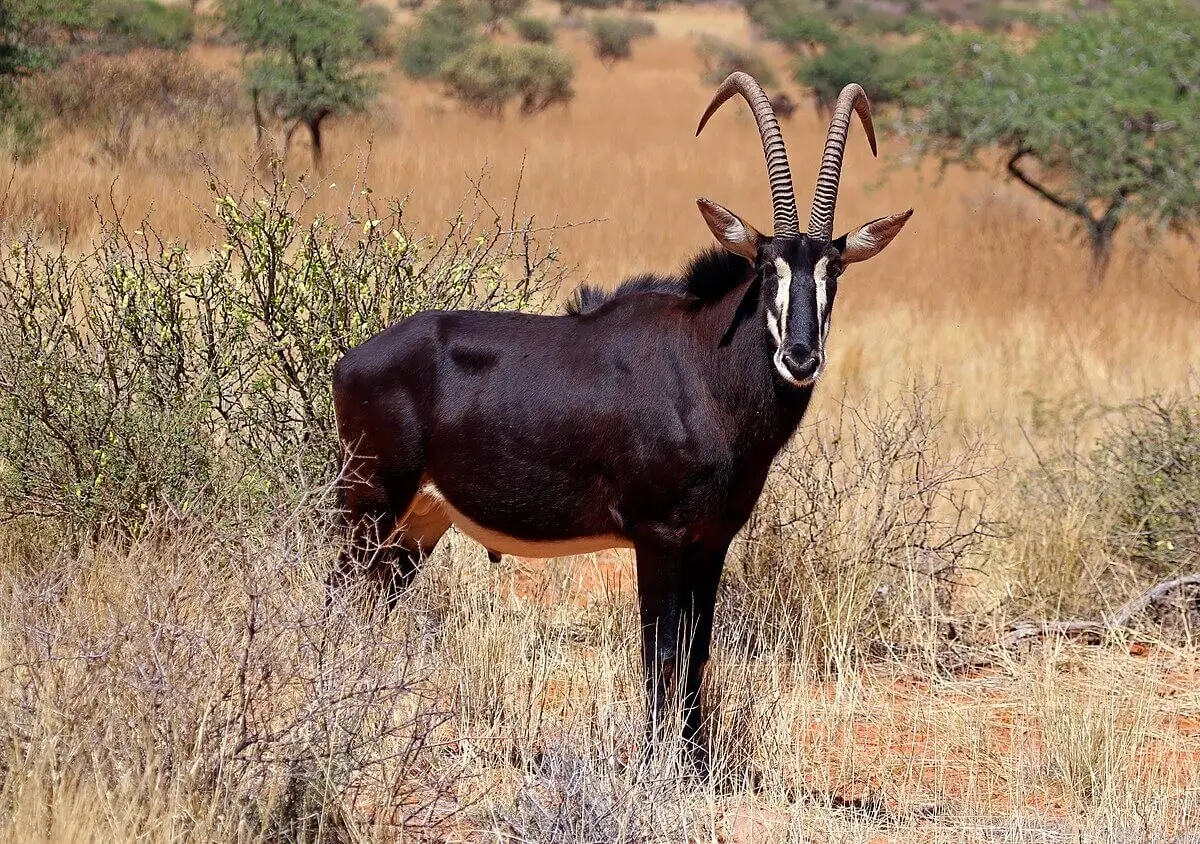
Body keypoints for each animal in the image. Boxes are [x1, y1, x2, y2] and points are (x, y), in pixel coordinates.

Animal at [328, 73, 912, 753]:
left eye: (833, 269)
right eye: (768, 267)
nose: (800, 356)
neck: (704, 367)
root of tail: (352, 361)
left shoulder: (712, 539)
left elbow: (696, 650)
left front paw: (692, 758)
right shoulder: (658, 535)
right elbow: (660, 652)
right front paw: (658, 760)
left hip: (419, 521)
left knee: (373, 600)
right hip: (370, 500)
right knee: (342, 596)